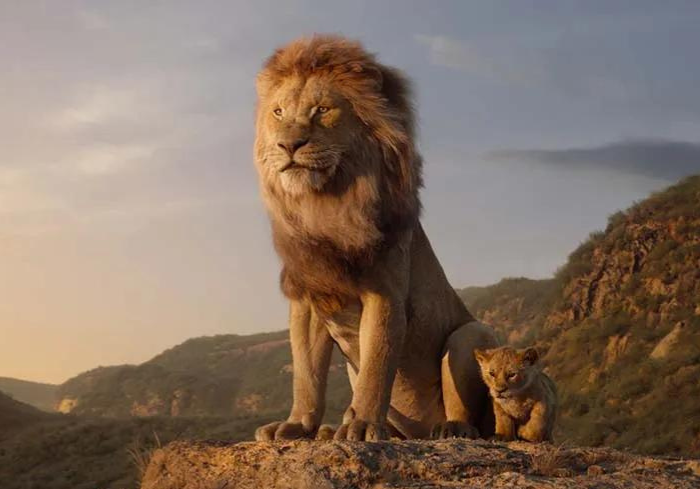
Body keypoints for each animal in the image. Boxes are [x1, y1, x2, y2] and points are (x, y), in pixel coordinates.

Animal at [253, 35, 499, 441]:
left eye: (322, 110)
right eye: (278, 112)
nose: (288, 145)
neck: (325, 205)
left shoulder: (385, 293)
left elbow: (376, 366)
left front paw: (364, 425)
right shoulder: (309, 299)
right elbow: (306, 374)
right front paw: (297, 424)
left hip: (471, 334)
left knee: (471, 414)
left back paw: (450, 429)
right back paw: (332, 430)